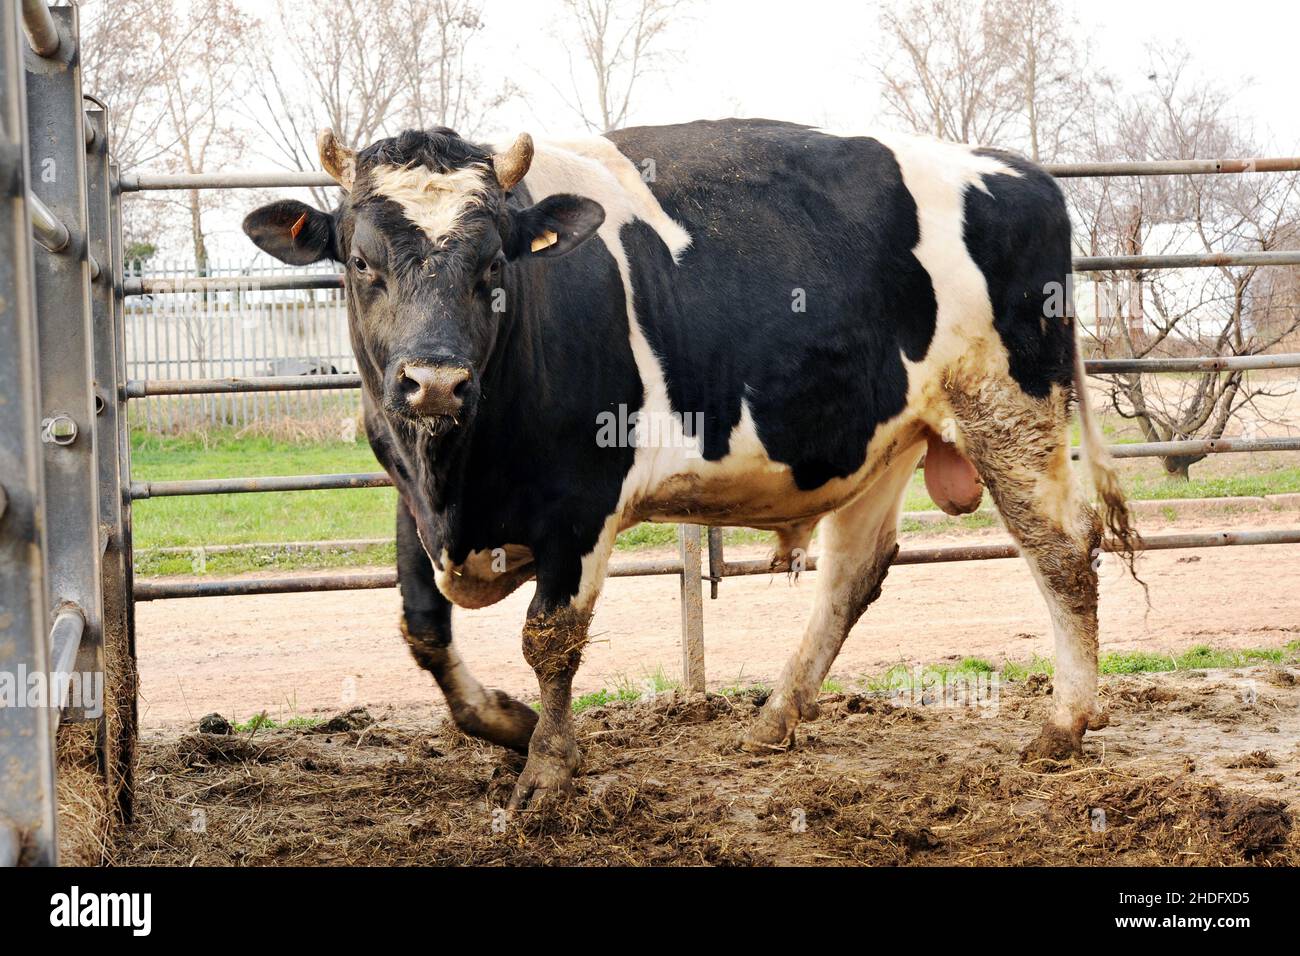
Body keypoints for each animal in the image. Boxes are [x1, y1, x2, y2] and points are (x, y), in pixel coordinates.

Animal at [242, 118, 1138, 809]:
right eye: (362, 262)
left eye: (493, 264)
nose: (433, 379)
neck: (459, 474)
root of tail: (1018, 170)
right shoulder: (409, 493)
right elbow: (424, 631)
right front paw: (511, 724)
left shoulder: (584, 502)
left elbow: (550, 640)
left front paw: (547, 772)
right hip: (887, 438)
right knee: (854, 573)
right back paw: (774, 718)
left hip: (1007, 407)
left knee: (1062, 553)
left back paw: (1061, 727)